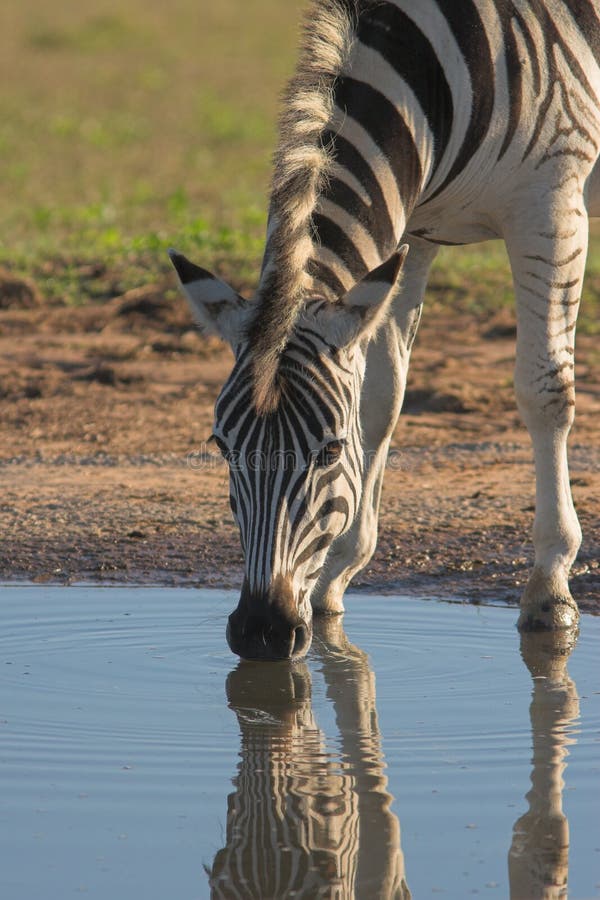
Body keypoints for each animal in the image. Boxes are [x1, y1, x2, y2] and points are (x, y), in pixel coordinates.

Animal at [170, 0, 600, 659]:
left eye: (328, 451)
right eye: (222, 447)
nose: (262, 633)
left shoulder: (551, 205)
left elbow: (544, 391)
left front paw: (551, 587)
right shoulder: (410, 229)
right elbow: (381, 397)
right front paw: (337, 574)